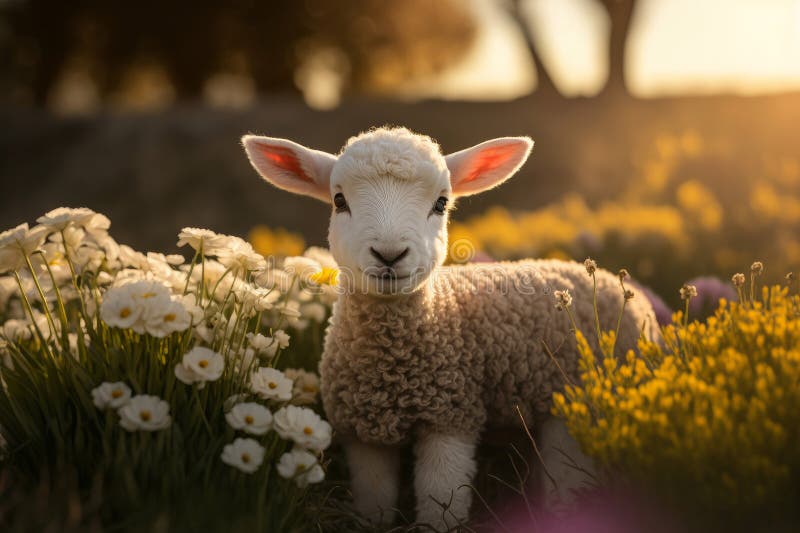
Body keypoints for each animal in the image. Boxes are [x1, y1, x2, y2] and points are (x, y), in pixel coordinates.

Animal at [242, 127, 660, 530]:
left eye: (441, 203)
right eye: (339, 200)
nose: (390, 255)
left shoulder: (451, 415)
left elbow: (440, 503)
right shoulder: (363, 432)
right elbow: (374, 505)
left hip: (573, 399)